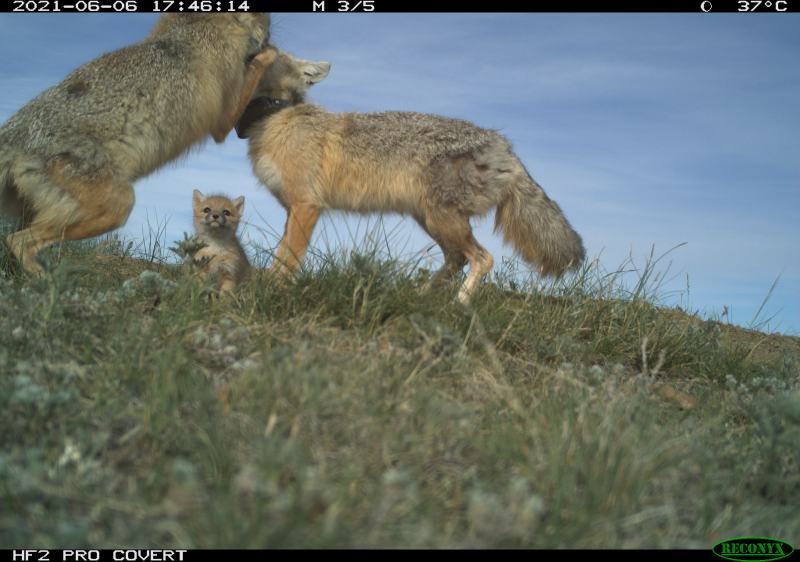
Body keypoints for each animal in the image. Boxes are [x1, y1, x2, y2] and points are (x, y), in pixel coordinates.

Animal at [0, 14, 275, 276]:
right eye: (266, 19)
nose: (271, 33)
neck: (194, 25)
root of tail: (14, 136)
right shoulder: (222, 120)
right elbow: (259, 64)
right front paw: (275, 53)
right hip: (118, 205)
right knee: (18, 241)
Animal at [236, 50, 586, 304]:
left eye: (272, 54)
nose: (251, 51)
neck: (278, 116)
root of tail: (505, 146)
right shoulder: (292, 209)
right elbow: (281, 255)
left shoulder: (307, 206)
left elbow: (287, 259)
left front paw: (272, 292)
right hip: (432, 221)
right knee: (457, 260)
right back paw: (419, 296)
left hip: (442, 221)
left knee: (482, 258)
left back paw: (458, 305)